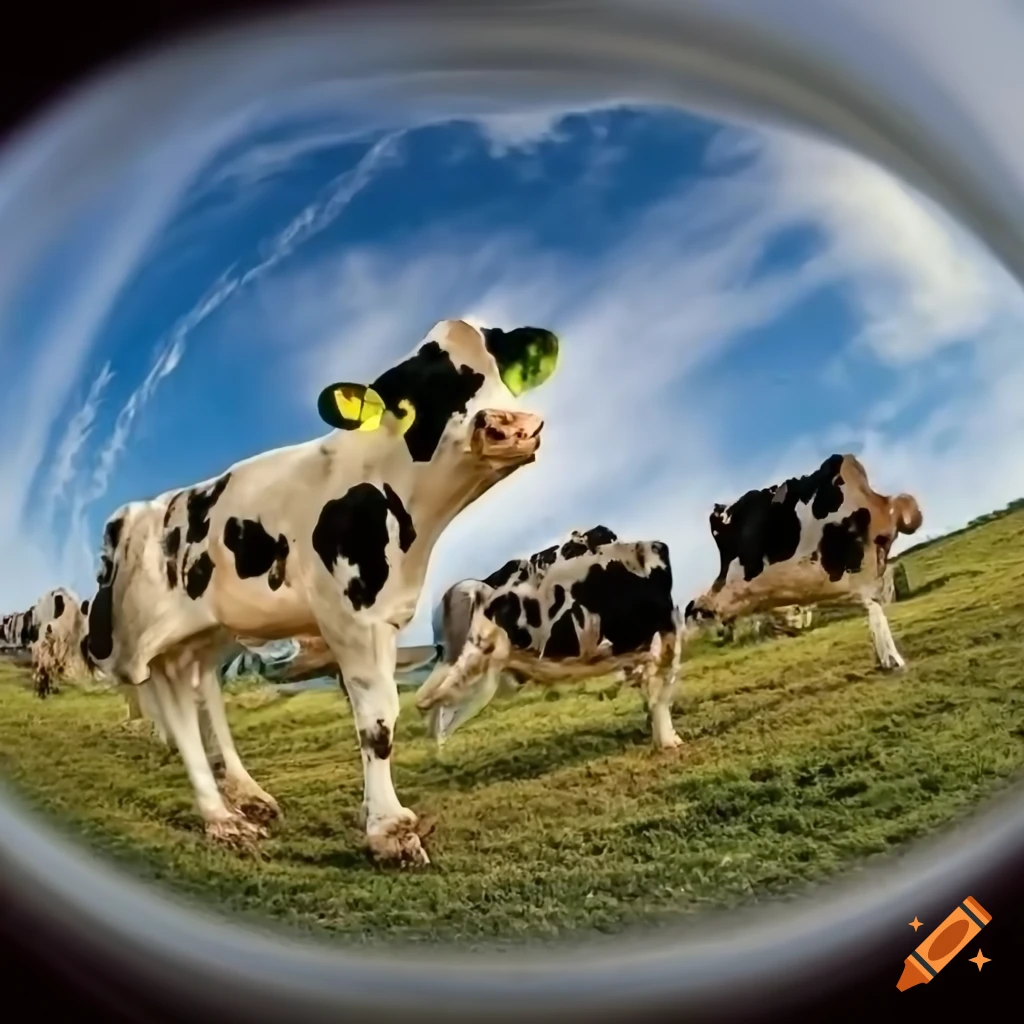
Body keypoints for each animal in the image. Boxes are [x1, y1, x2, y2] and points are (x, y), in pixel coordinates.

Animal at [86, 318, 559, 866]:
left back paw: (246, 795)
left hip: (210, 634)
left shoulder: (384, 616)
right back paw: (221, 818)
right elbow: (378, 720)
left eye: (502, 365)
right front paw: (389, 831)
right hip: (145, 638)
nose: (511, 426)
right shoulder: (350, 619)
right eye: (418, 388)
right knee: (176, 703)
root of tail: (138, 510)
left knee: (202, 688)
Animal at [415, 525, 685, 752]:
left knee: (435, 712)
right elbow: (661, 696)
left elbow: (652, 696)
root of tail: (470, 586)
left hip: (472, 670)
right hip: (468, 664)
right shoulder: (666, 633)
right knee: (426, 702)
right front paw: (669, 743)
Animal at [683, 453, 922, 670]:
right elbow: (874, 608)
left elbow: (874, 608)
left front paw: (889, 659)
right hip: (731, 584)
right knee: (703, 606)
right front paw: (892, 659)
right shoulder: (859, 573)